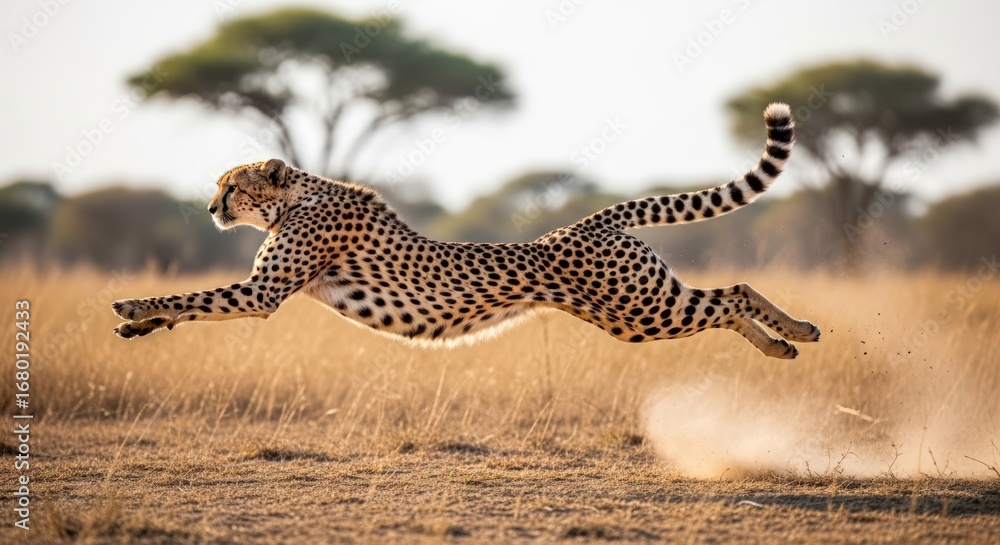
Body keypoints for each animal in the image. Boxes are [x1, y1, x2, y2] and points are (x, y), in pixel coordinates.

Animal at [112, 102, 819, 358]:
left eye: (232, 186)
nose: (211, 209)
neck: (300, 195)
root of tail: (590, 219)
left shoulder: (260, 294)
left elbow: (196, 296)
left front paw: (133, 305)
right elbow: (193, 305)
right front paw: (141, 325)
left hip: (642, 308)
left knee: (733, 293)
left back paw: (794, 332)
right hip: (635, 312)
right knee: (727, 298)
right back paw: (785, 343)